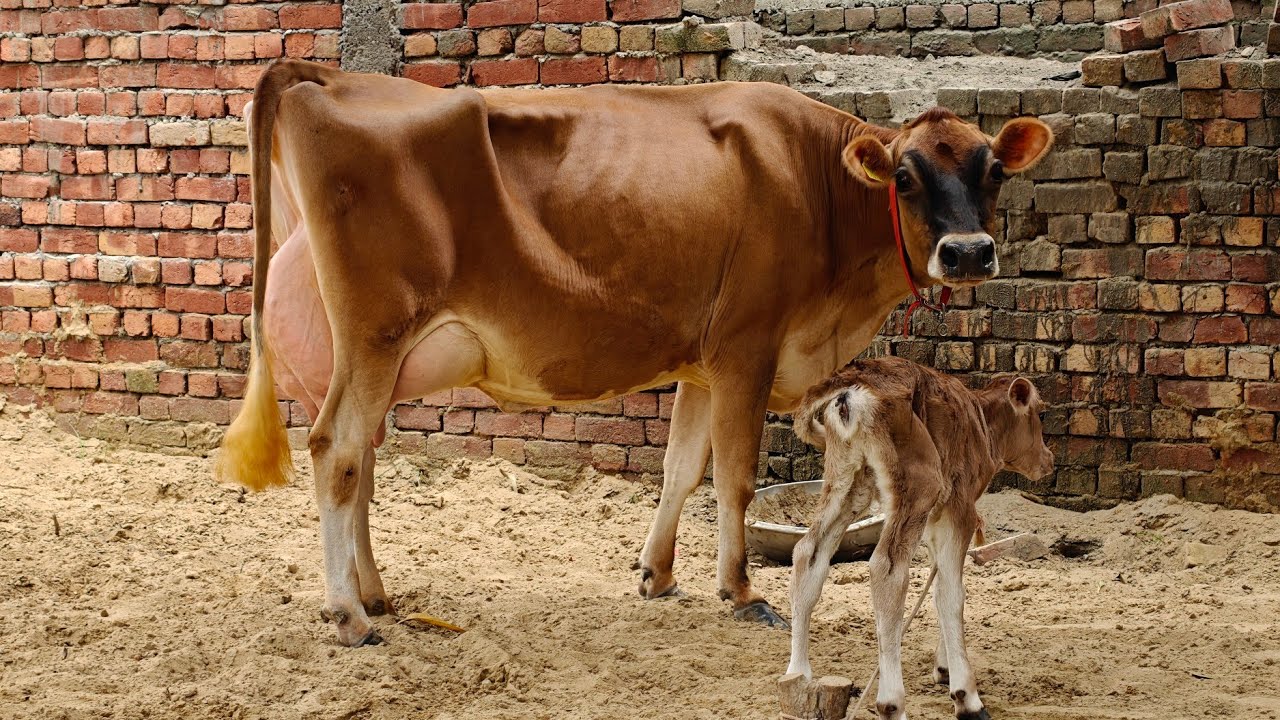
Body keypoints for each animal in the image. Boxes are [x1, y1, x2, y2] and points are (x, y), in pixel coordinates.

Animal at [214, 59, 1052, 648]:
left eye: (994, 171)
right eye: (905, 176)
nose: (969, 251)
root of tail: (322, 74)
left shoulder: (704, 360)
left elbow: (680, 469)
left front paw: (658, 574)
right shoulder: (747, 347)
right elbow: (734, 479)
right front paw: (741, 593)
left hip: (365, 349)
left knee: (361, 459)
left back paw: (376, 593)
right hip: (376, 332)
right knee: (337, 449)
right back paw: (349, 615)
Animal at [786, 356, 1054, 720]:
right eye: (1040, 413)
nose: (1049, 459)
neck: (982, 425)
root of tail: (854, 380)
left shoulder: (935, 521)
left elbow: (938, 580)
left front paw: (944, 667)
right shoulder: (959, 509)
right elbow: (951, 593)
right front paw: (965, 694)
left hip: (849, 481)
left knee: (808, 551)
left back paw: (797, 674)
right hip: (919, 483)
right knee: (886, 569)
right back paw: (891, 702)